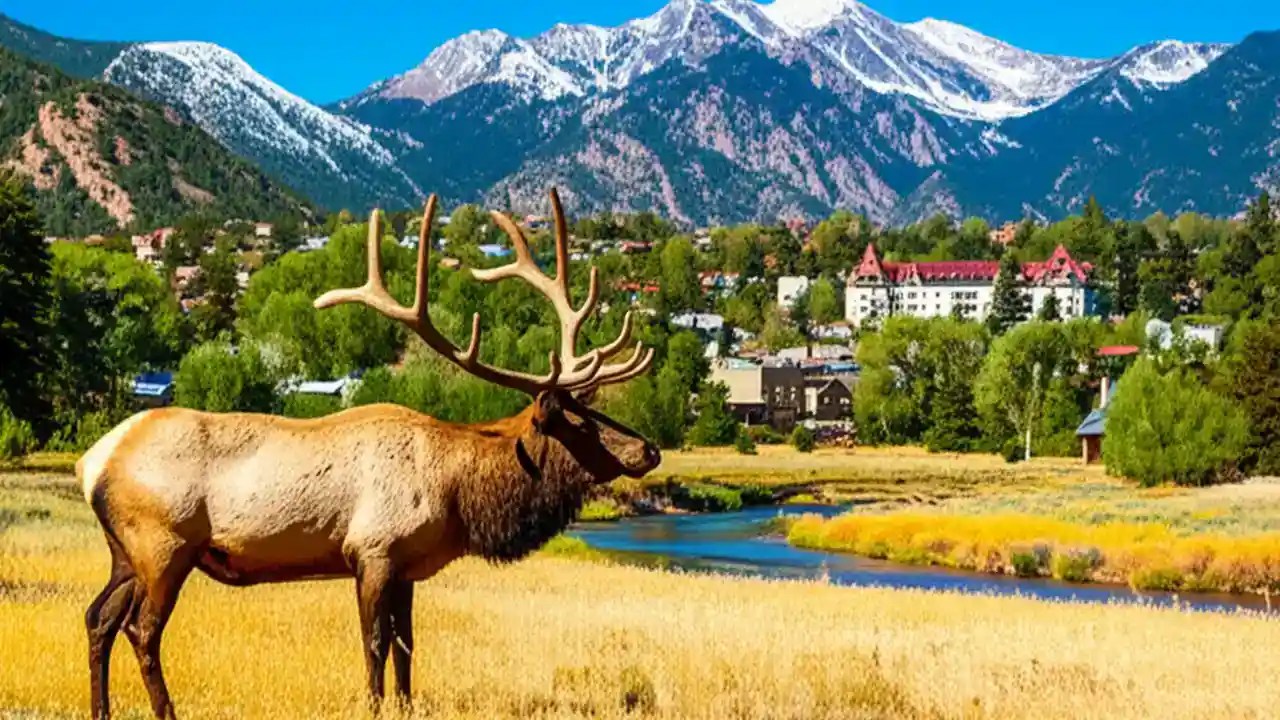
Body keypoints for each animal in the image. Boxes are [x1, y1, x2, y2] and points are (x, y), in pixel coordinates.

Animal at [79, 188, 661, 720]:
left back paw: (101, 710)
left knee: (97, 618)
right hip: (164, 545)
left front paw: (404, 704)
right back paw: (164, 712)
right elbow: (376, 646)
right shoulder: (373, 550)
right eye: (579, 421)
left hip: (124, 552)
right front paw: (376, 705)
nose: (649, 448)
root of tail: (92, 462)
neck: (457, 492)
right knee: (141, 630)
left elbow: (407, 648)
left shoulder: (405, 568)